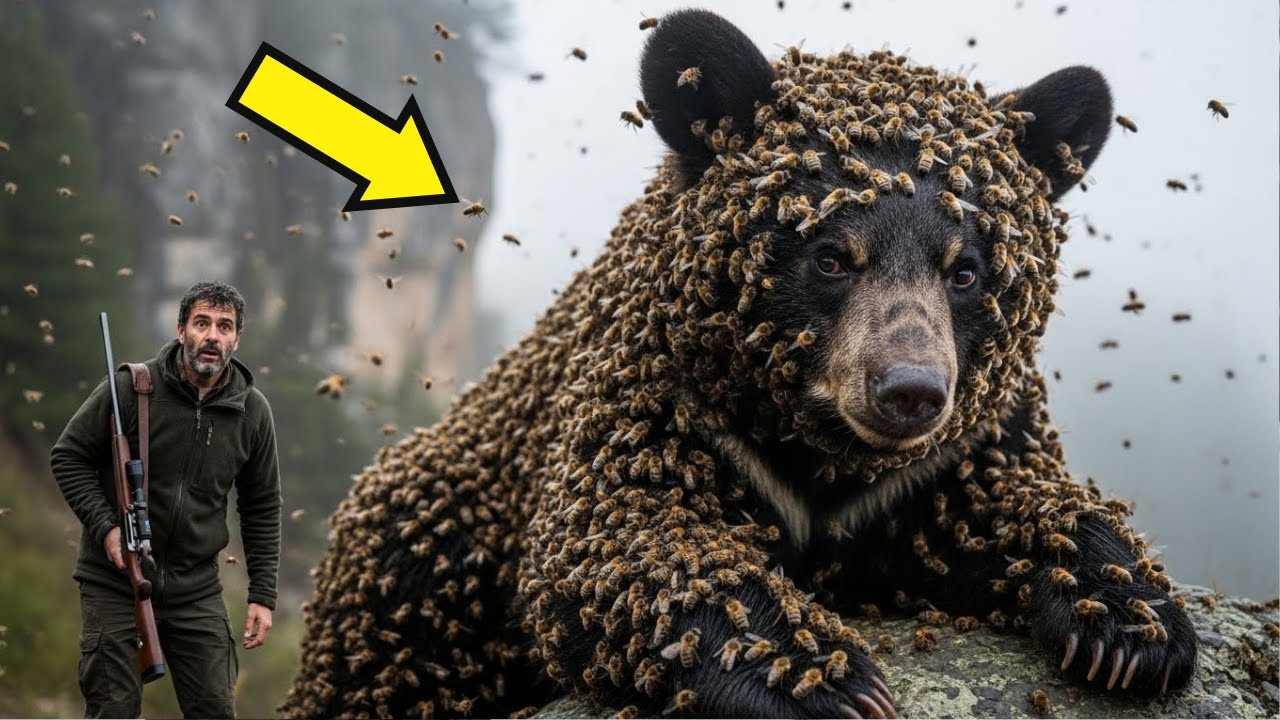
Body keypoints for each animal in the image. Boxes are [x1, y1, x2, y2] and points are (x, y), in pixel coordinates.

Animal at [280, 9, 1198, 719]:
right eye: (831, 256)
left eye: (965, 269)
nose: (908, 391)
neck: (813, 443)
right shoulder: (662, 395)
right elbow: (616, 535)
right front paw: (827, 678)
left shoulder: (949, 454)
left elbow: (1007, 501)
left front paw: (1133, 622)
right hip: (422, 552)